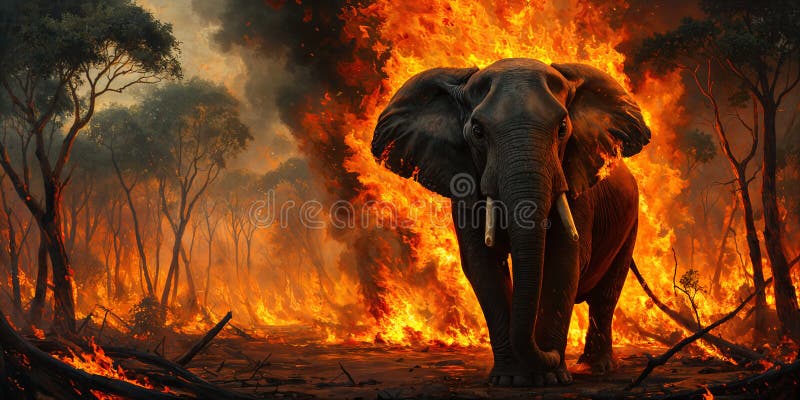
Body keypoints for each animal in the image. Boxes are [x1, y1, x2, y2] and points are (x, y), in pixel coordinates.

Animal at [371, 58, 650, 386]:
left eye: (563, 128)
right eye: (477, 131)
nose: (551, 355)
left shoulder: (576, 186)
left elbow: (564, 261)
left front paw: (550, 378)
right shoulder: (465, 187)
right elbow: (483, 265)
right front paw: (509, 379)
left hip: (631, 222)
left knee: (606, 296)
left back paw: (597, 368)